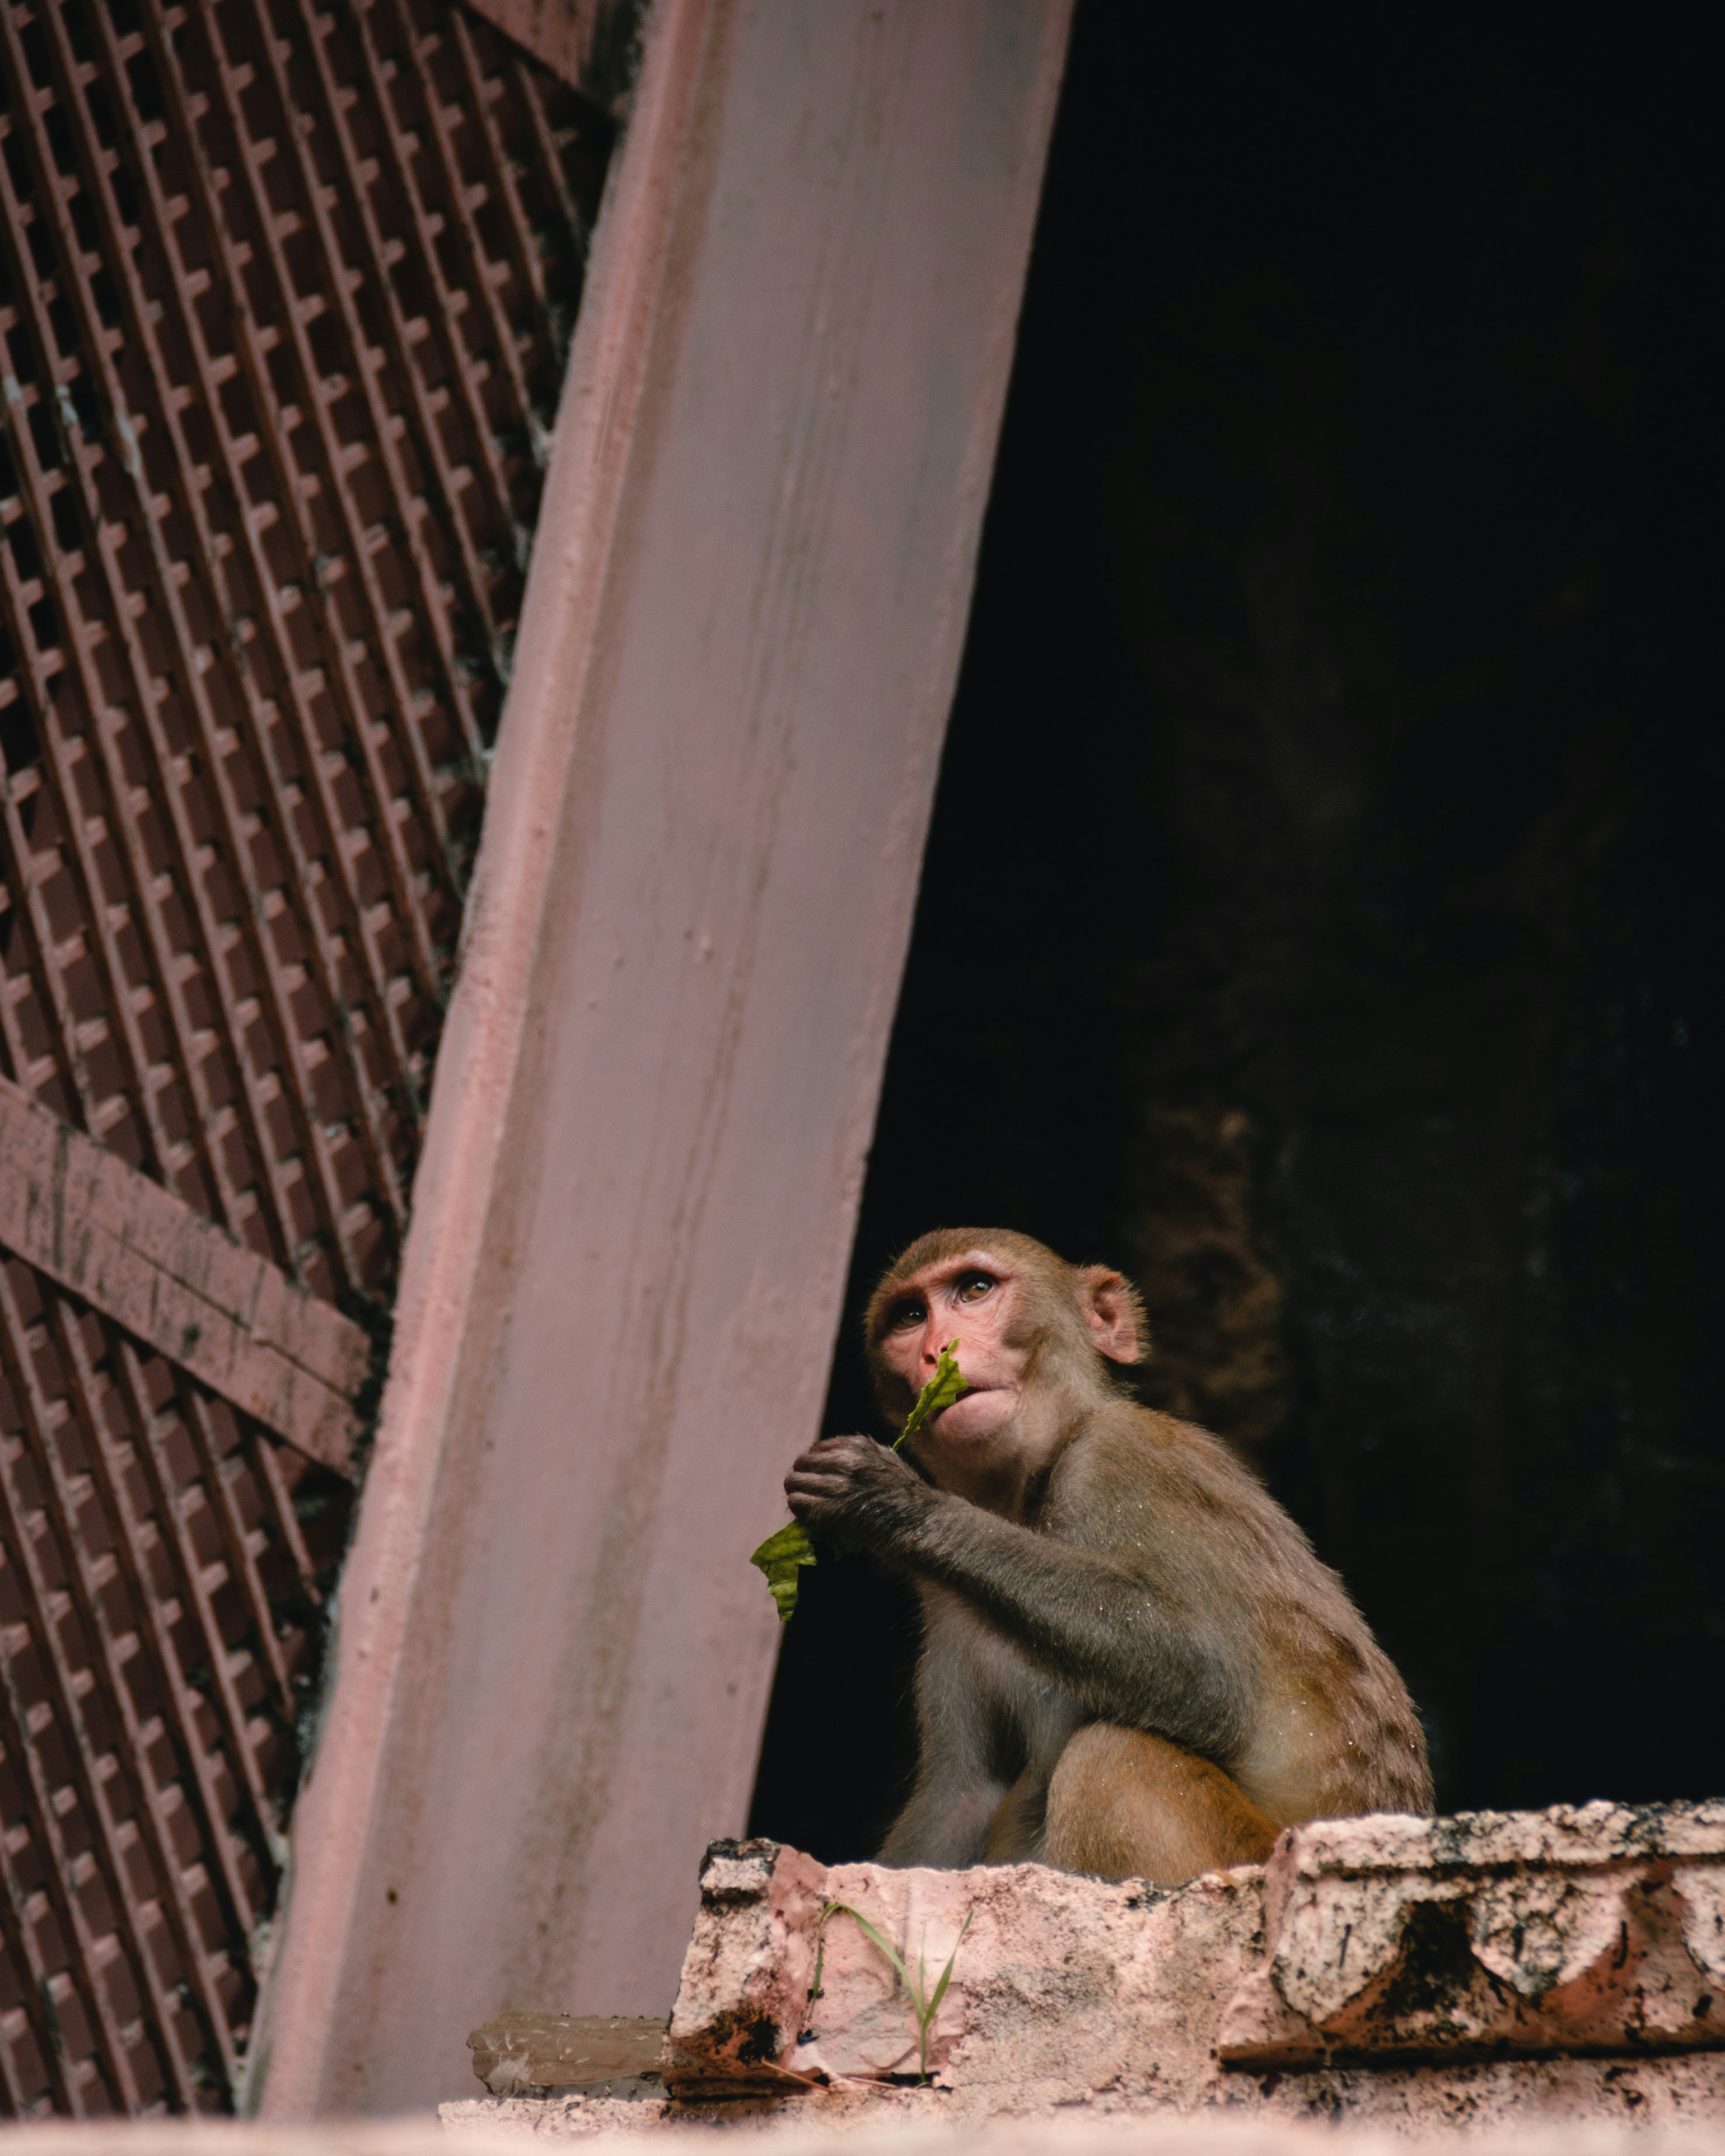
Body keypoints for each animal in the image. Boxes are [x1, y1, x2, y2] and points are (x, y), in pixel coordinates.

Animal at [784, 1228, 1431, 1886]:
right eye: (909, 1317)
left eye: (975, 1289)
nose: (937, 1348)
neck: (1030, 1488)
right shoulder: (945, 1599)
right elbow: (962, 1796)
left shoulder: (1124, 1459)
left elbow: (1206, 1676)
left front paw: (894, 1503)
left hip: (1240, 1851)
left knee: (1112, 1754)